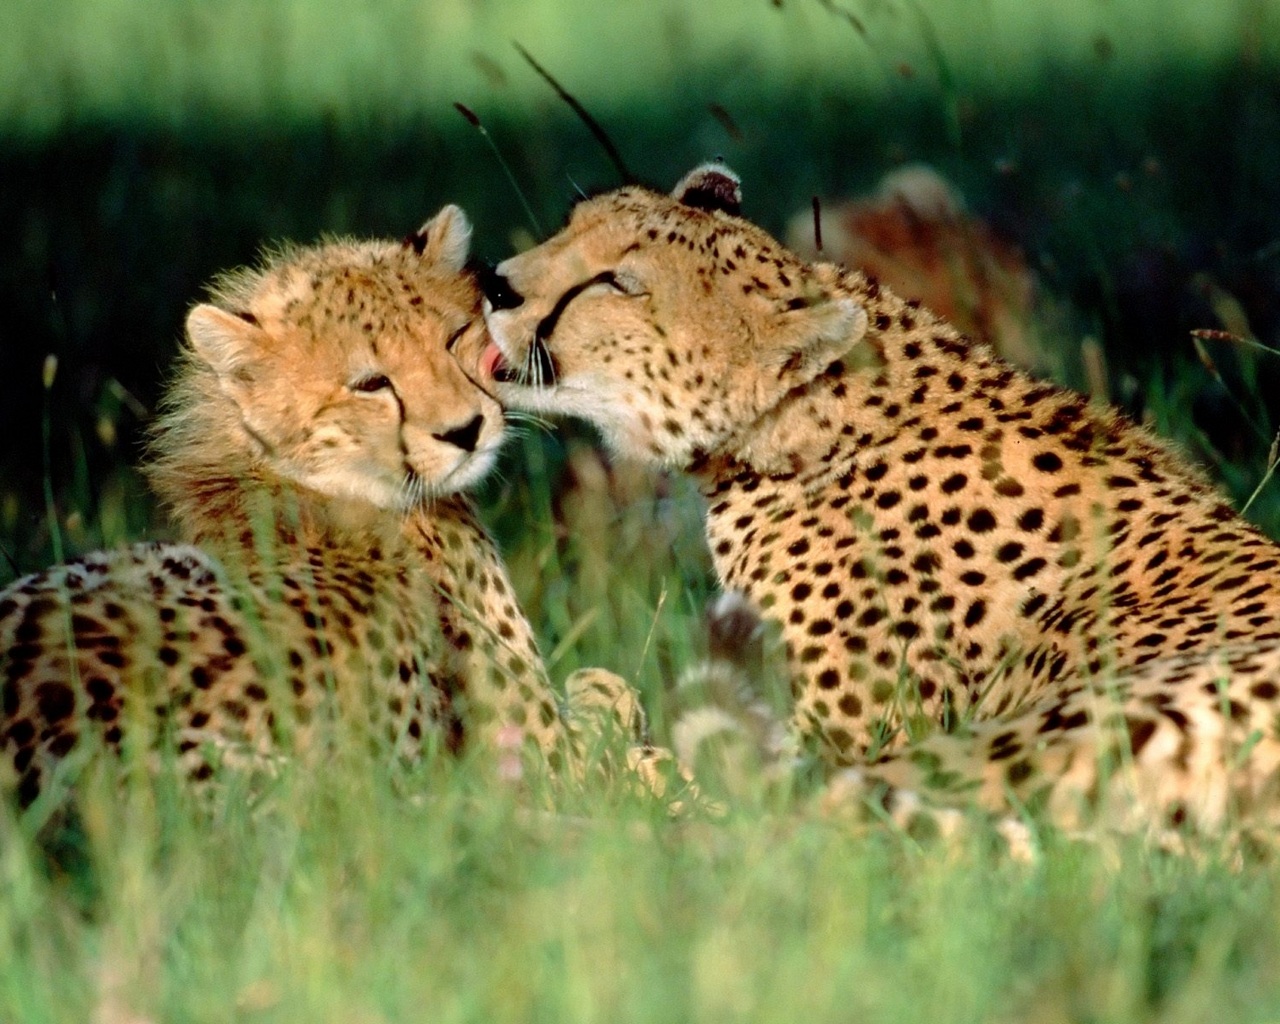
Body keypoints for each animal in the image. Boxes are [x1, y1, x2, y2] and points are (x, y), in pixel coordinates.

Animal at [478, 162, 1280, 839]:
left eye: (619, 283)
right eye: (573, 224)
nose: (494, 283)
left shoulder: (844, 742)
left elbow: (675, 780)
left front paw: (590, 706)